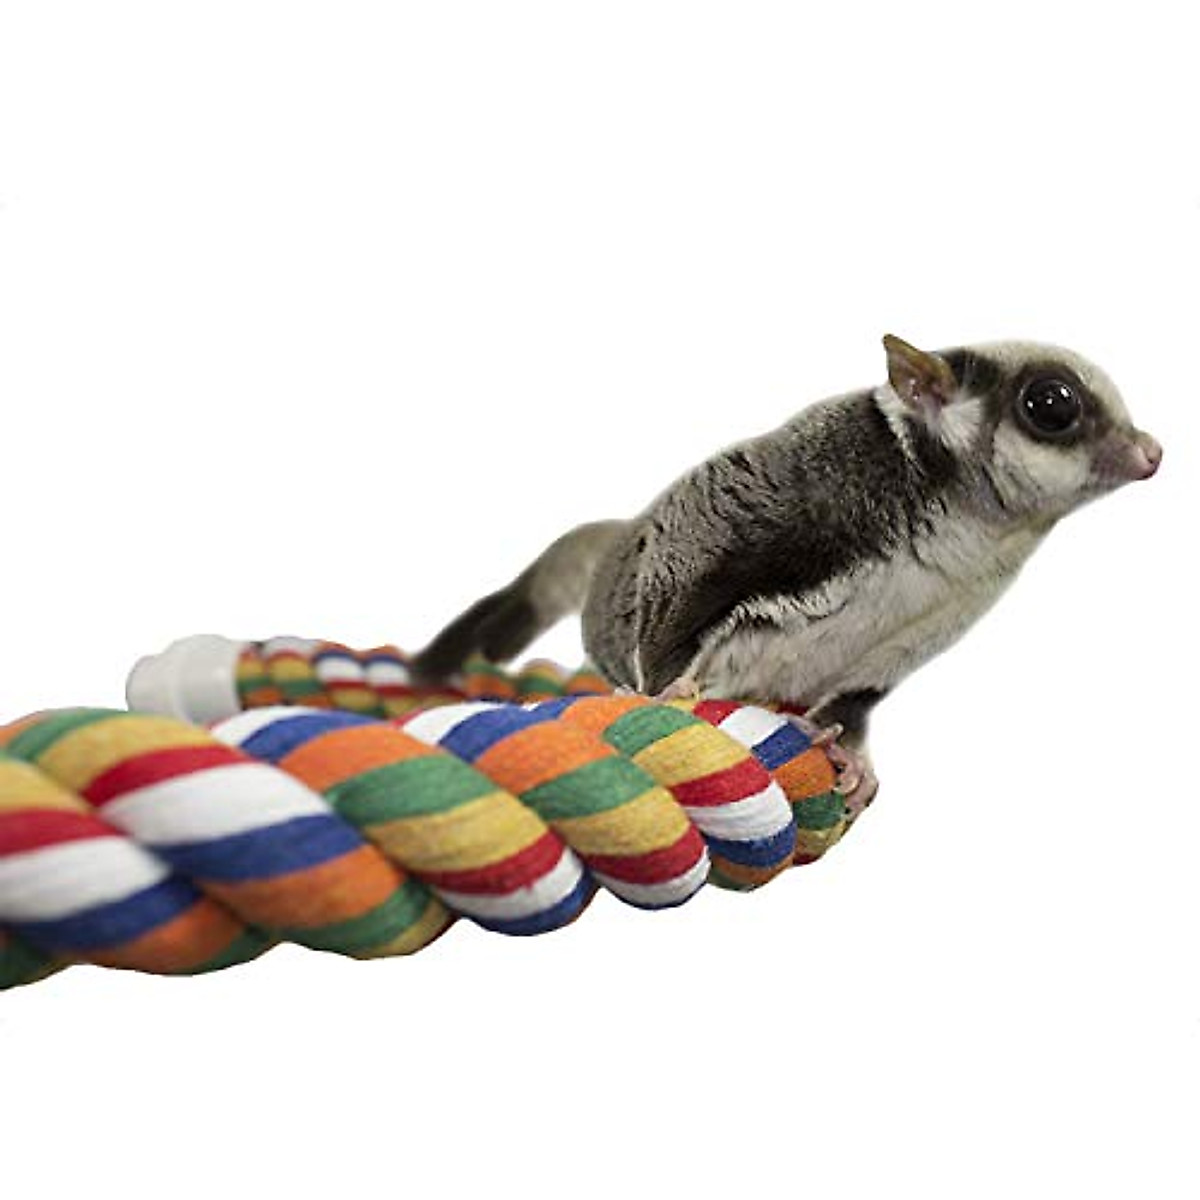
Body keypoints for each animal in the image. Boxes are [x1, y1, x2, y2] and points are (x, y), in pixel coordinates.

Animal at [413, 335, 1162, 808]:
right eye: (1052, 405)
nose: (1151, 453)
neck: (970, 527)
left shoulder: (954, 607)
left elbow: (863, 692)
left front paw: (852, 757)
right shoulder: (800, 498)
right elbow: (690, 565)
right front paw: (672, 691)